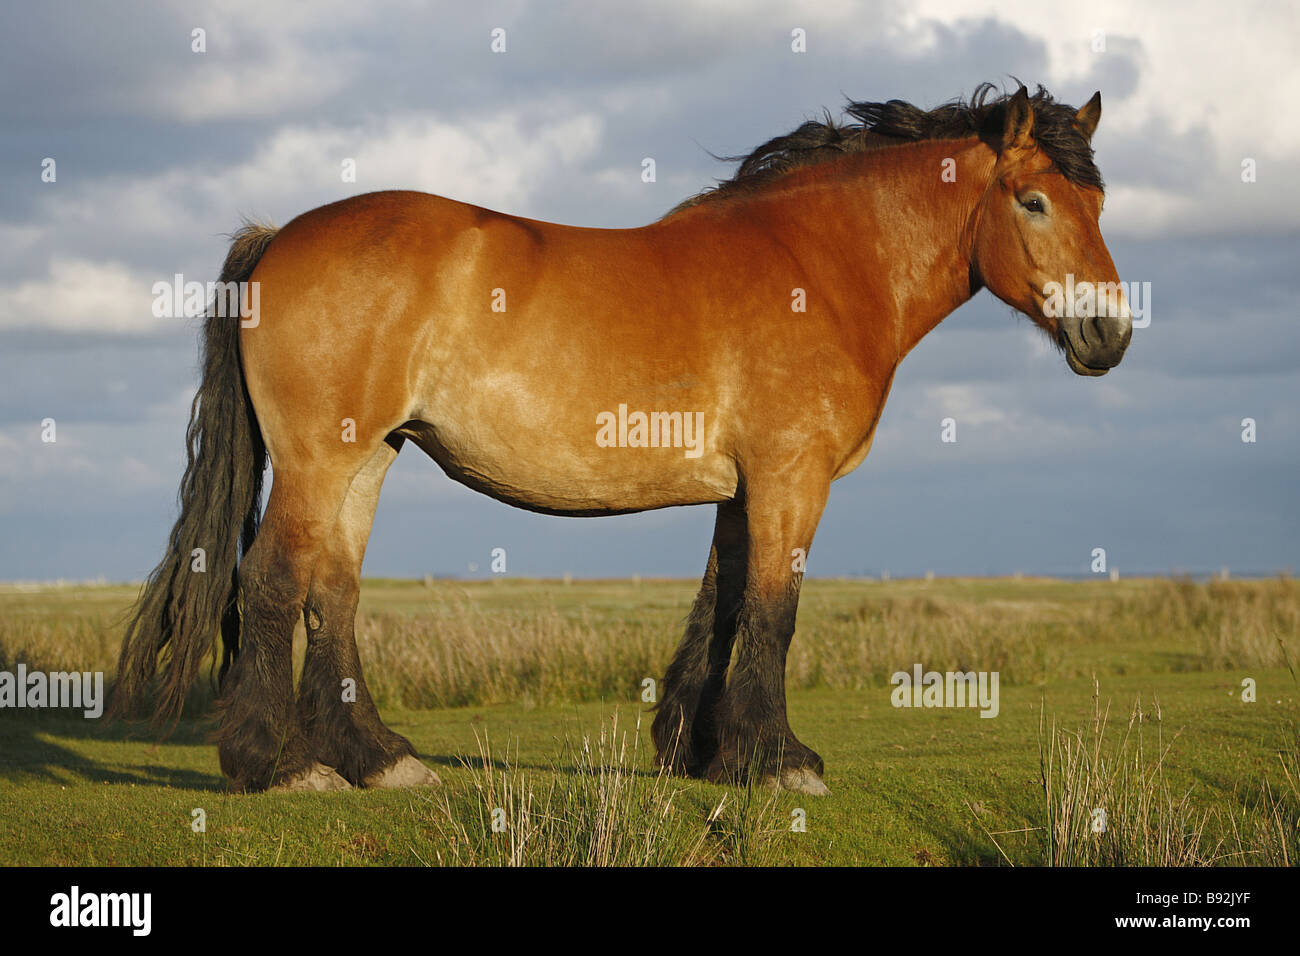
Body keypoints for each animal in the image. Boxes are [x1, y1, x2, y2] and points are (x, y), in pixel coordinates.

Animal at [112, 83, 1131, 795]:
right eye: (1034, 201)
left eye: (1100, 204)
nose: (1110, 334)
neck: (819, 264)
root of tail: (281, 236)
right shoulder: (791, 479)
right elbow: (773, 611)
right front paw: (780, 760)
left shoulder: (743, 488)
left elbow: (724, 605)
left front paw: (704, 751)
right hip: (322, 459)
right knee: (273, 585)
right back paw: (279, 765)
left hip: (367, 460)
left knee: (335, 594)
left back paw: (379, 758)